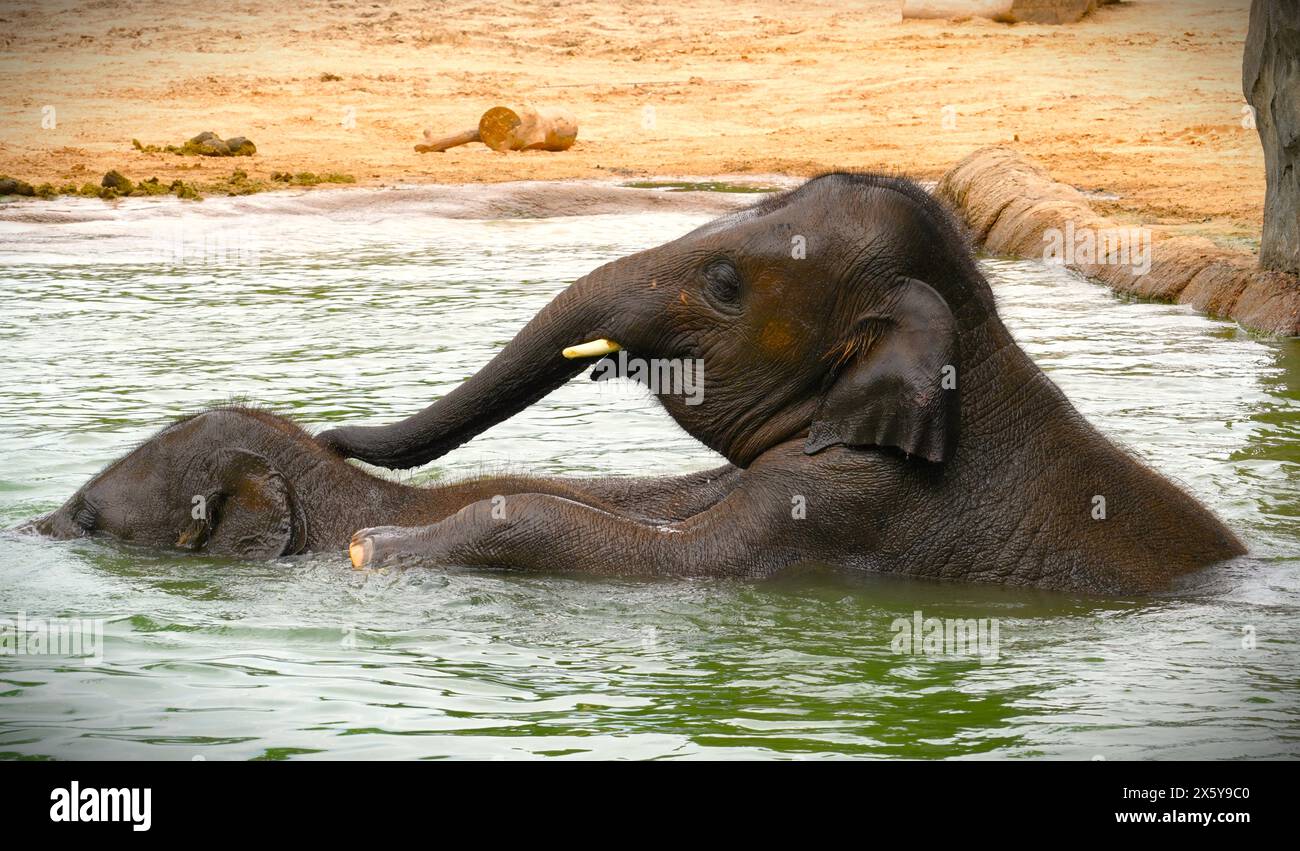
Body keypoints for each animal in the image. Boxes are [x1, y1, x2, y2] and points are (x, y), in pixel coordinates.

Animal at [310, 172, 1246, 593]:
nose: (328, 433)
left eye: (725, 283)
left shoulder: (857, 507)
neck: (979, 345)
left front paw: (372, 549)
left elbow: (671, 559)